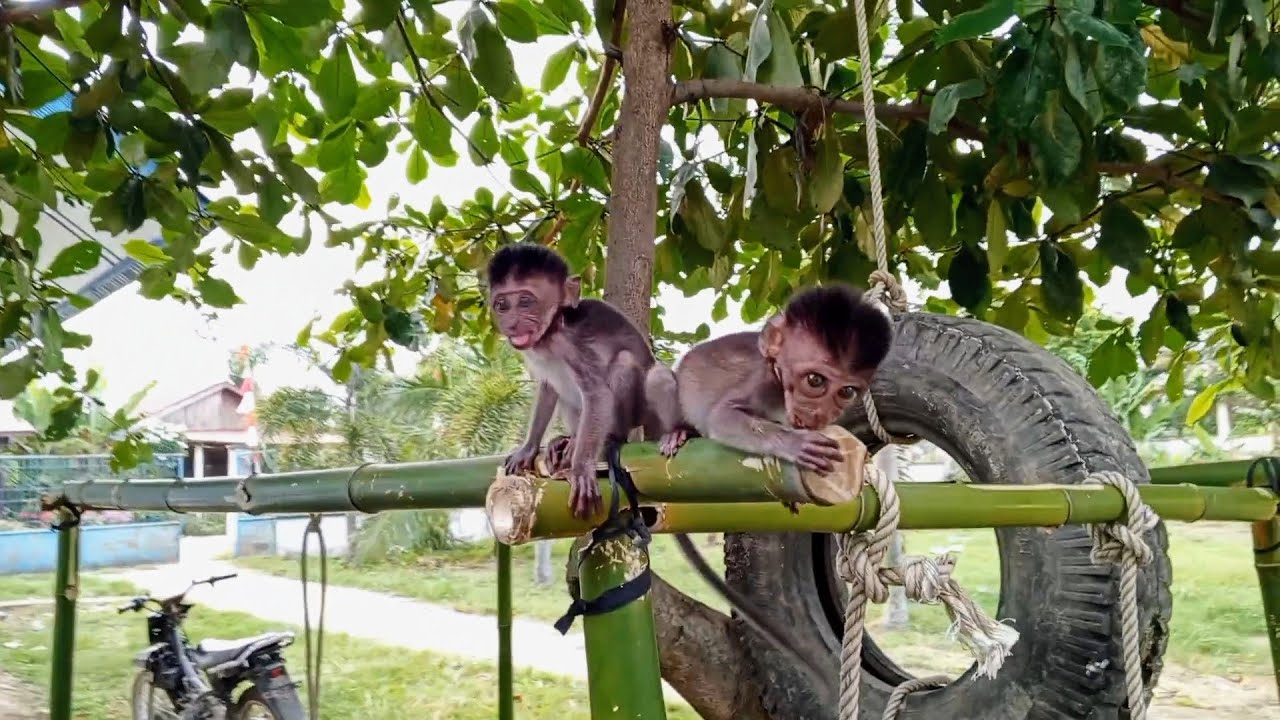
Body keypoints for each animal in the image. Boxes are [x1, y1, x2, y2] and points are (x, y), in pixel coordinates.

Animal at [487, 243, 680, 519]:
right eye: (502, 305)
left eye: (525, 302)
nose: (512, 323)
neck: (551, 333)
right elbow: (548, 387)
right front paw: (529, 447)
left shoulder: (571, 345)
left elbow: (598, 394)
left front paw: (581, 468)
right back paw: (566, 439)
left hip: (642, 418)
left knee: (623, 362)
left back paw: (608, 436)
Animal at [660, 282, 895, 685]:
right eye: (815, 381)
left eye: (847, 391)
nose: (819, 414)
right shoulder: (764, 385)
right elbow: (721, 417)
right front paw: (794, 445)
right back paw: (678, 431)